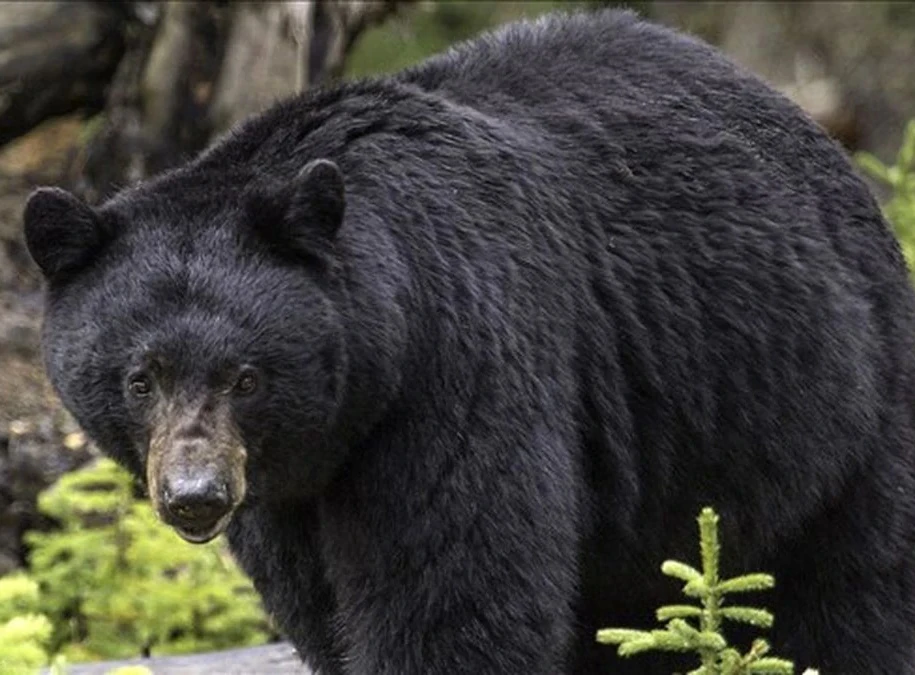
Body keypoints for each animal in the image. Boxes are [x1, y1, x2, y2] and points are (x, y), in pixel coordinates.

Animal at [20, 7, 915, 674]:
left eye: (247, 376)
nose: (196, 494)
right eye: (141, 376)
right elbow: (321, 608)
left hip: (834, 402)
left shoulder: (455, 366)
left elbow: (452, 587)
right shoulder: (285, 492)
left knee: (857, 587)